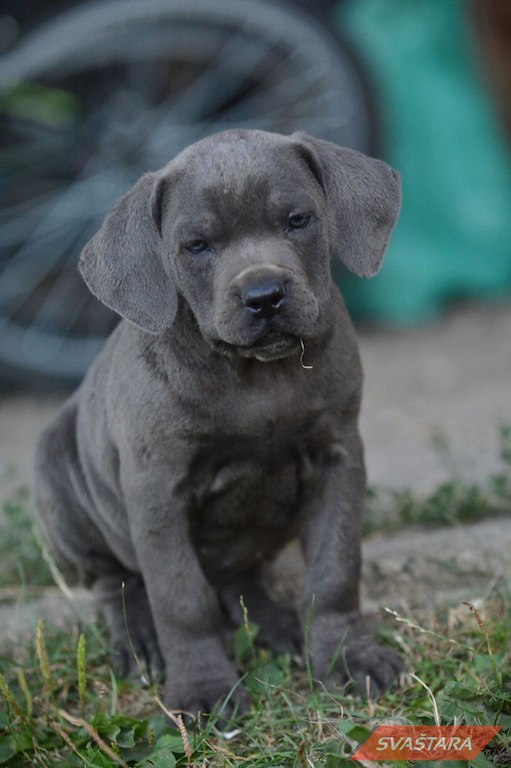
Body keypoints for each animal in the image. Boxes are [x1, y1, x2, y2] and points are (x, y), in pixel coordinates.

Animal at [34, 127, 404, 720]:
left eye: (297, 219)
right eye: (197, 246)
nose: (264, 296)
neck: (255, 374)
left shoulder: (338, 459)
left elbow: (335, 570)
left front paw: (349, 659)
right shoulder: (157, 492)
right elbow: (181, 599)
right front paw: (204, 689)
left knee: (237, 575)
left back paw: (275, 624)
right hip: (56, 476)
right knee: (116, 582)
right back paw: (139, 642)